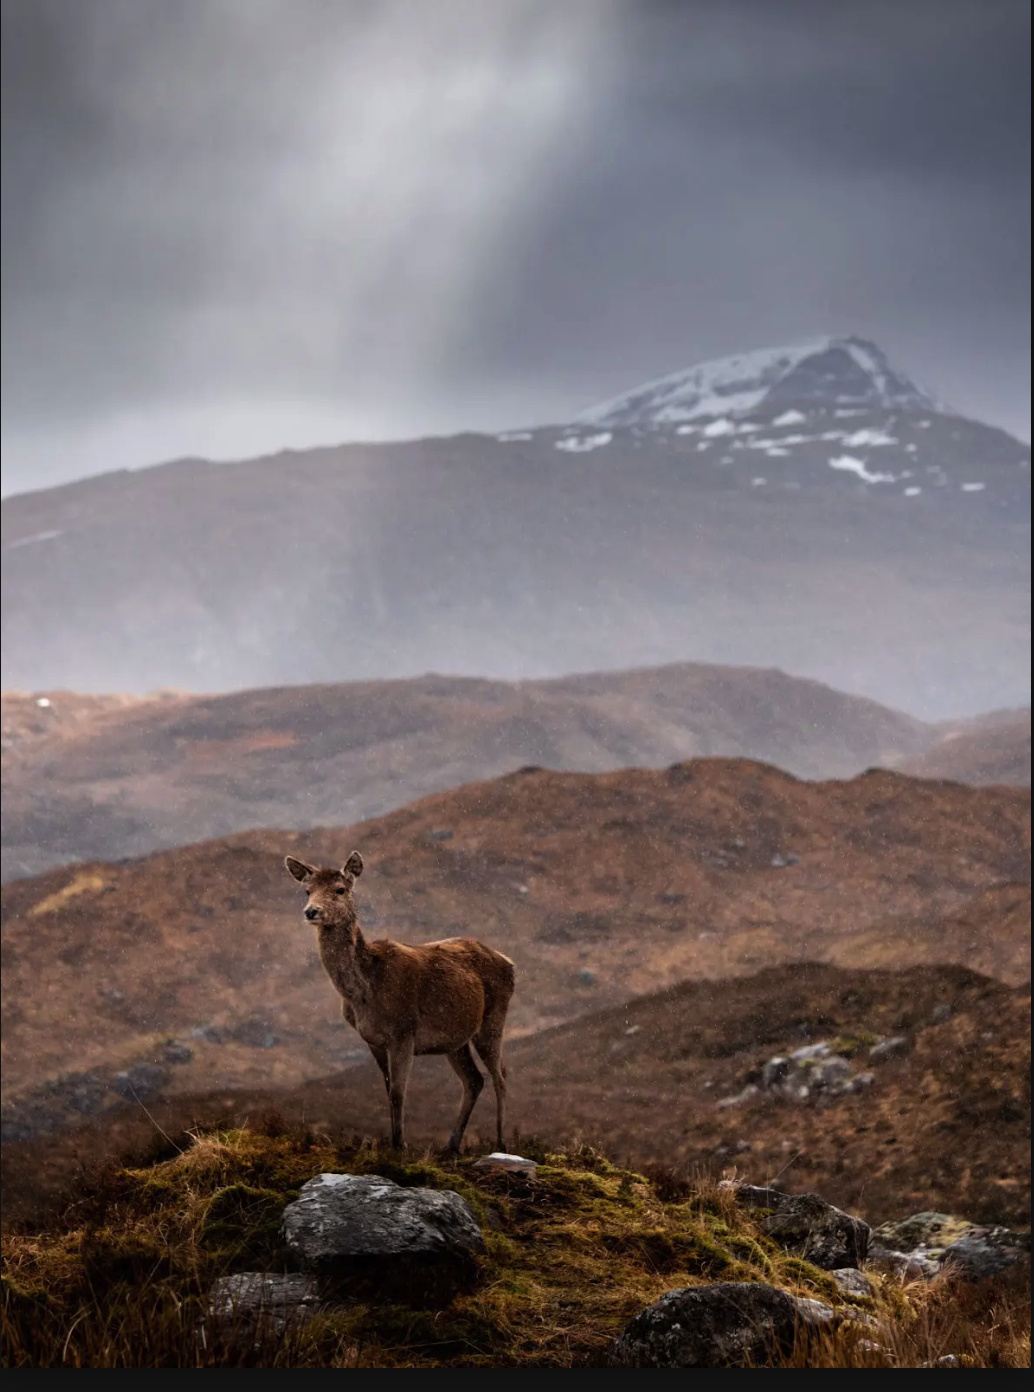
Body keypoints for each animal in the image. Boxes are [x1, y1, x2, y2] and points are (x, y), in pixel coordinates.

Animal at [285, 851, 515, 1153]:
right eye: (307, 890)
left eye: (340, 889)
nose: (311, 911)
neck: (365, 991)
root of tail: (510, 963)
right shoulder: (372, 1039)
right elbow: (387, 1088)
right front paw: (394, 1142)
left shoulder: (404, 1031)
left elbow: (398, 1091)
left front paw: (401, 1146)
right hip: (455, 1038)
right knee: (474, 1080)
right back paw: (451, 1146)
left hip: (493, 1019)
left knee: (501, 1075)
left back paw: (501, 1143)